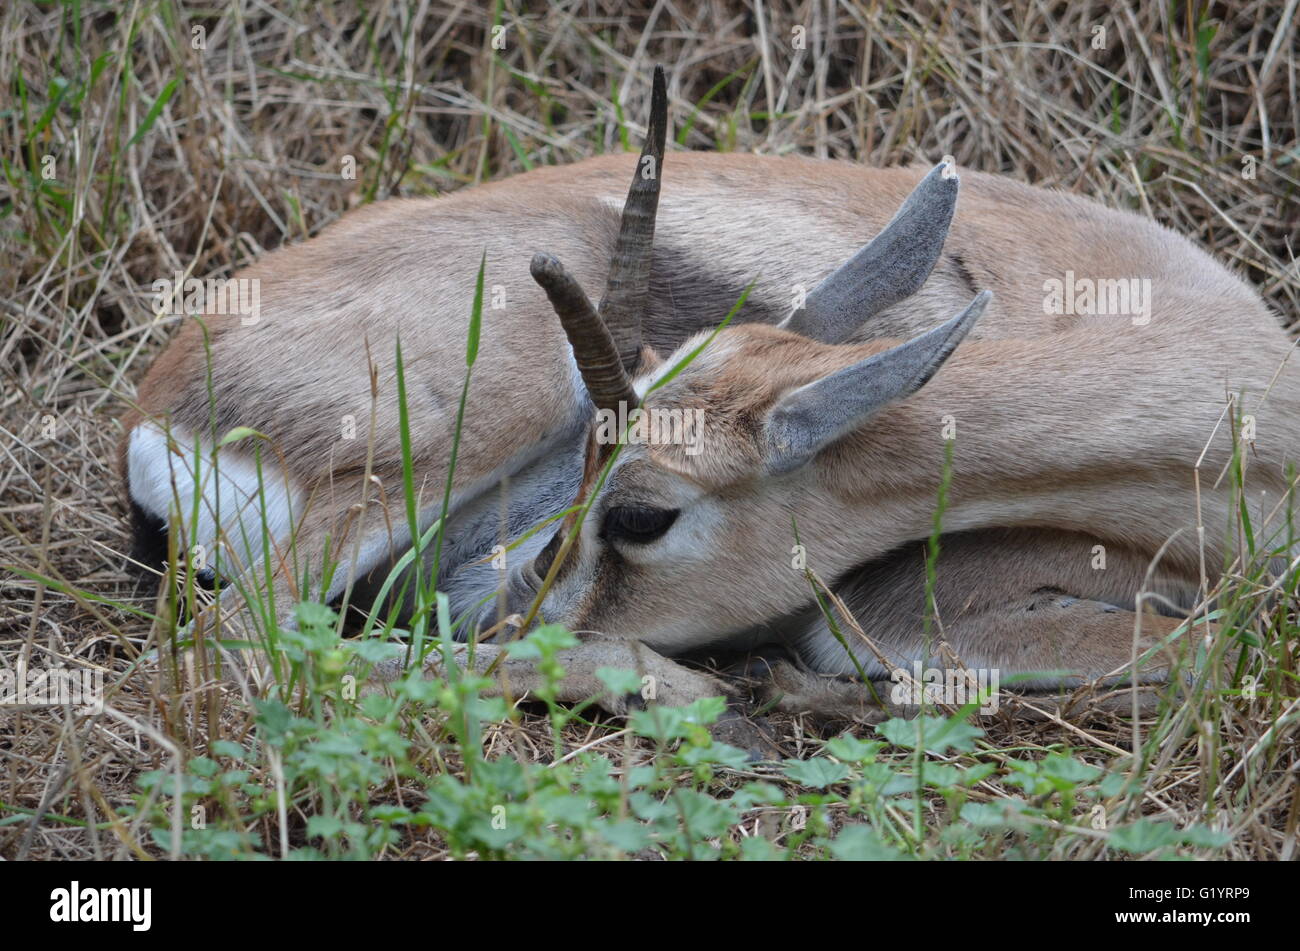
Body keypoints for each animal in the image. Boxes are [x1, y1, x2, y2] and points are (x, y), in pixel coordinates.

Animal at [121, 67, 1300, 715]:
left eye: (641, 514)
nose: (470, 602)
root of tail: (160, 402)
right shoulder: (905, 612)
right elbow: (1206, 650)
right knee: (244, 647)